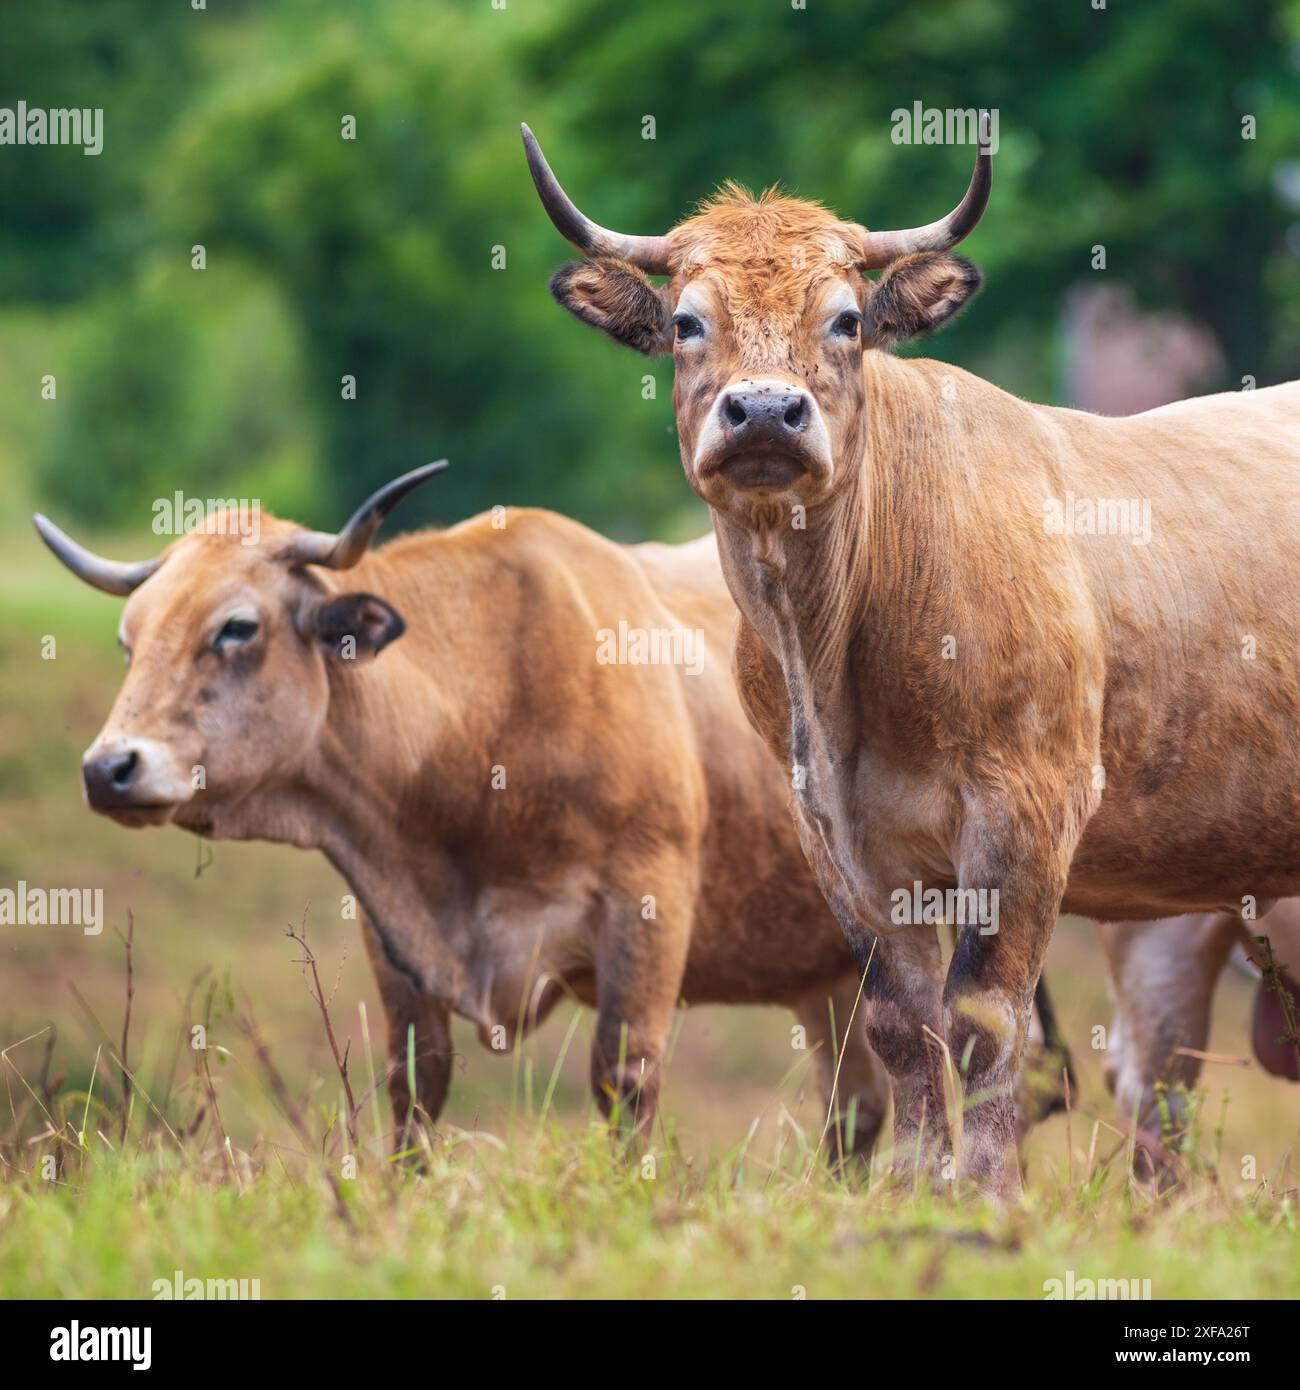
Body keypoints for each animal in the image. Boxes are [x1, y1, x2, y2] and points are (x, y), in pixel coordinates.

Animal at [523, 118, 1300, 1194]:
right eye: (686, 322)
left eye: (847, 319)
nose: (764, 413)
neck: (841, 655)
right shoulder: (842, 839)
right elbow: (902, 1026)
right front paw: (916, 1189)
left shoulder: (1027, 812)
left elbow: (983, 1024)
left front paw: (988, 1193)